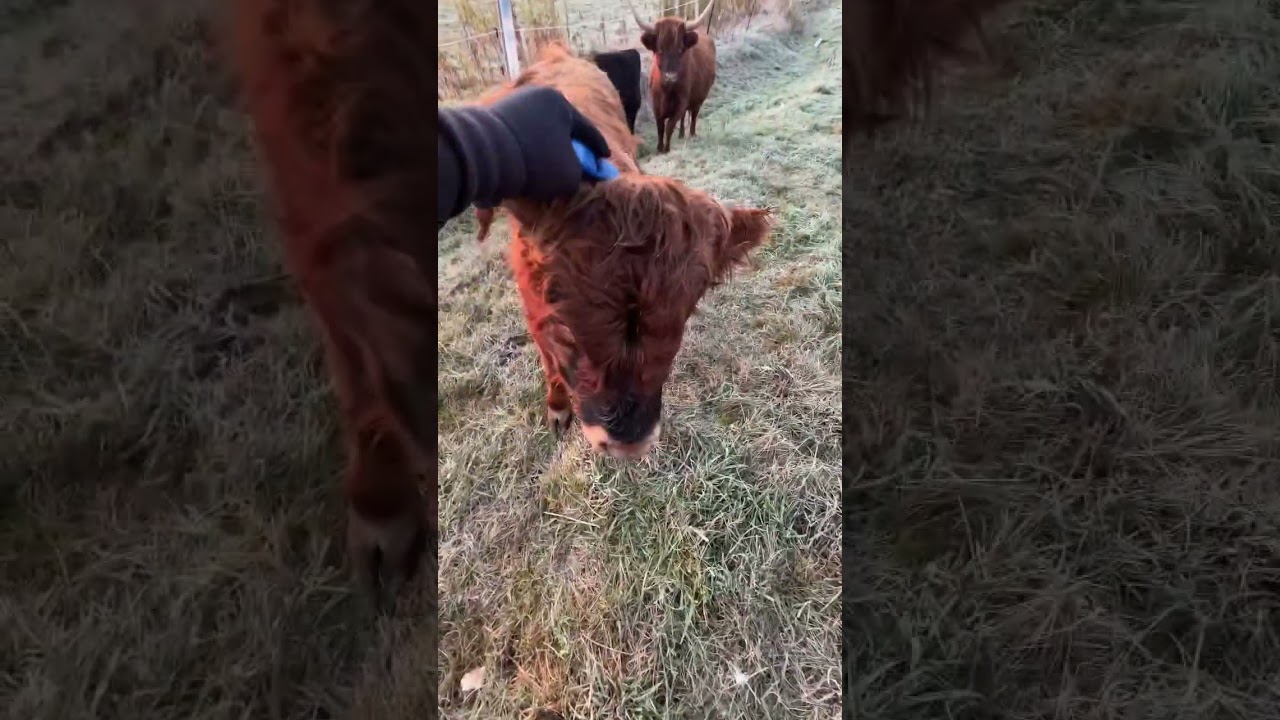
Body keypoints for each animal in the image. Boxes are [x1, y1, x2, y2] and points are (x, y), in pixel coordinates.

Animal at [477, 43, 774, 459]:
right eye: (566, 326)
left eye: (685, 312)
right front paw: (557, 408)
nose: (629, 443)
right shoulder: (535, 315)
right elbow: (550, 365)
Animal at [625, 0, 717, 154]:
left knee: (694, 114)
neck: (667, 91)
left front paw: (666, 149)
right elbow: (660, 127)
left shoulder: (681, 102)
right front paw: (659, 148)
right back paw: (681, 134)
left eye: (680, 50)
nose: (670, 77)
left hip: (699, 97)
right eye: (659, 50)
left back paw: (692, 134)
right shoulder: (656, 105)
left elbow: (669, 126)